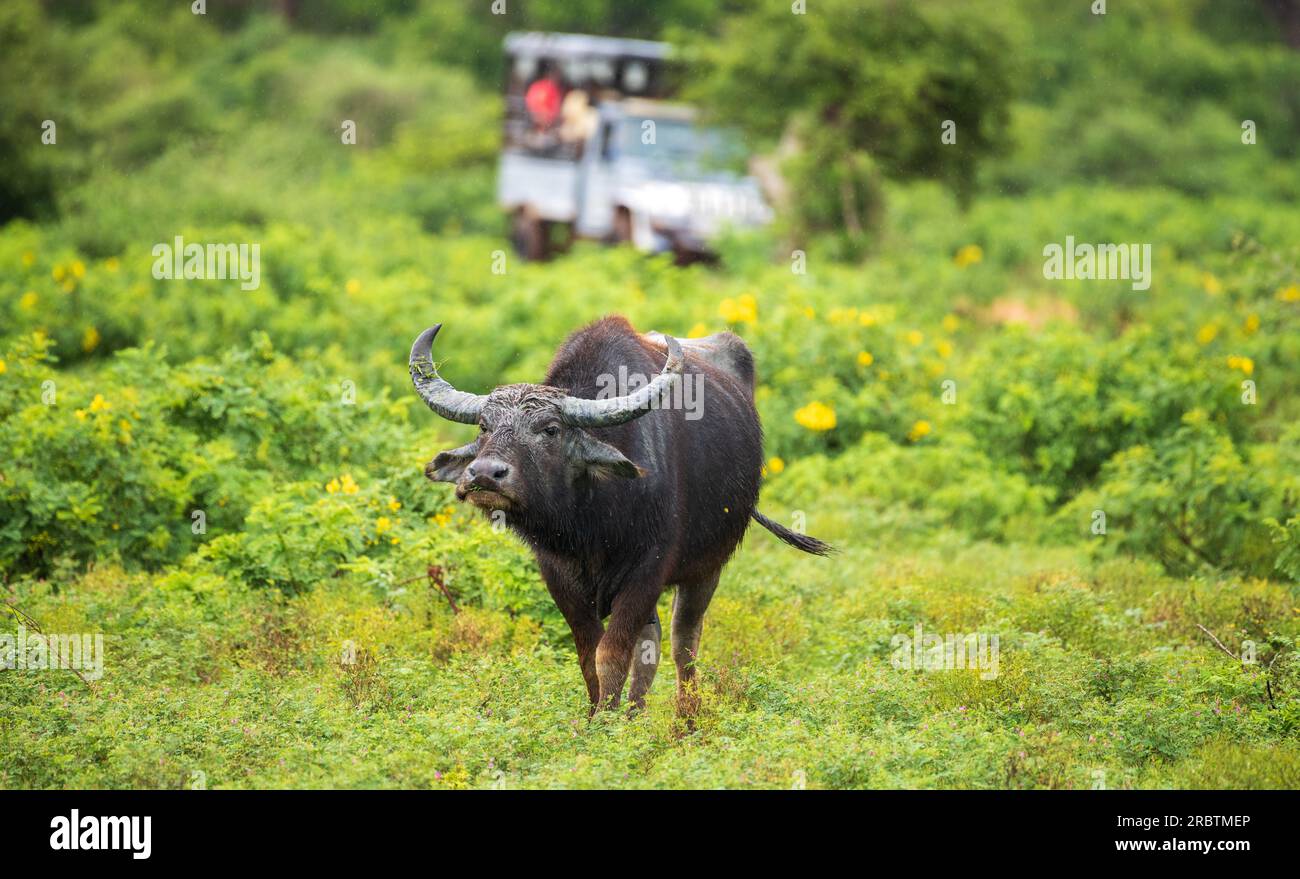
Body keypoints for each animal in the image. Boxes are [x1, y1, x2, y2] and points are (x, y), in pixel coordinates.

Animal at [409, 315, 830, 715]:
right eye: (484, 425)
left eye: (551, 429)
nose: (484, 474)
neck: (592, 523)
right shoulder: (557, 574)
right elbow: (588, 654)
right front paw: (597, 716)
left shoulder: (648, 570)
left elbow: (612, 654)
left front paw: (607, 723)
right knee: (653, 642)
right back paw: (635, 714)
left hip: (708, 566)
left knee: (683, 642)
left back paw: (686, 719)